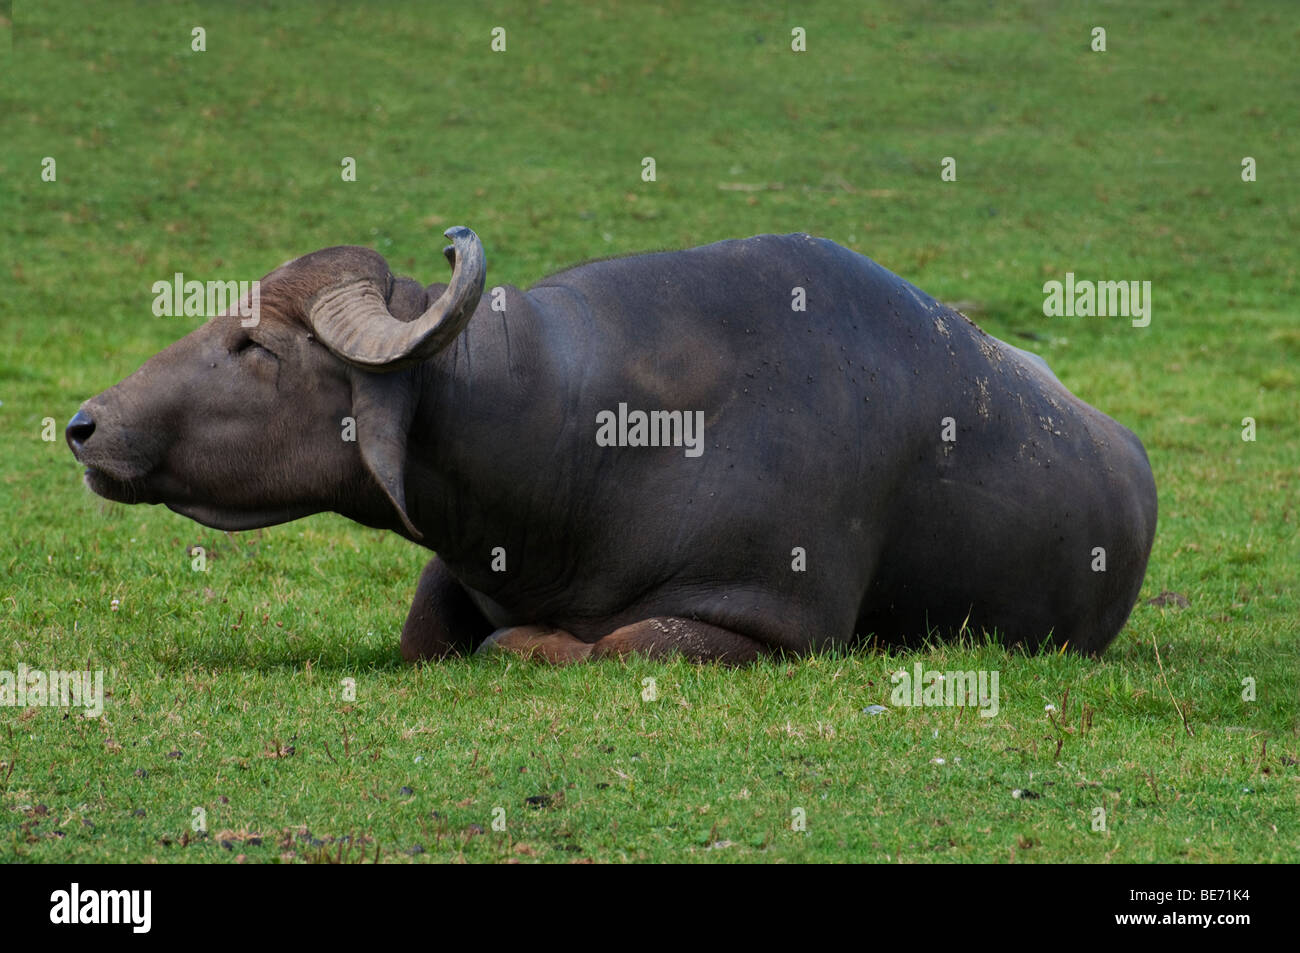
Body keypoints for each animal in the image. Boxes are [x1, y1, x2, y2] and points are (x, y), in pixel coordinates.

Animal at [67, 228, 1157, 662]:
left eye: (253, 345)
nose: (86, 423)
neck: (581, 445)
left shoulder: (778, 622)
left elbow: (614, 639)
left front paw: (531, 641)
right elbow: (426, 633)